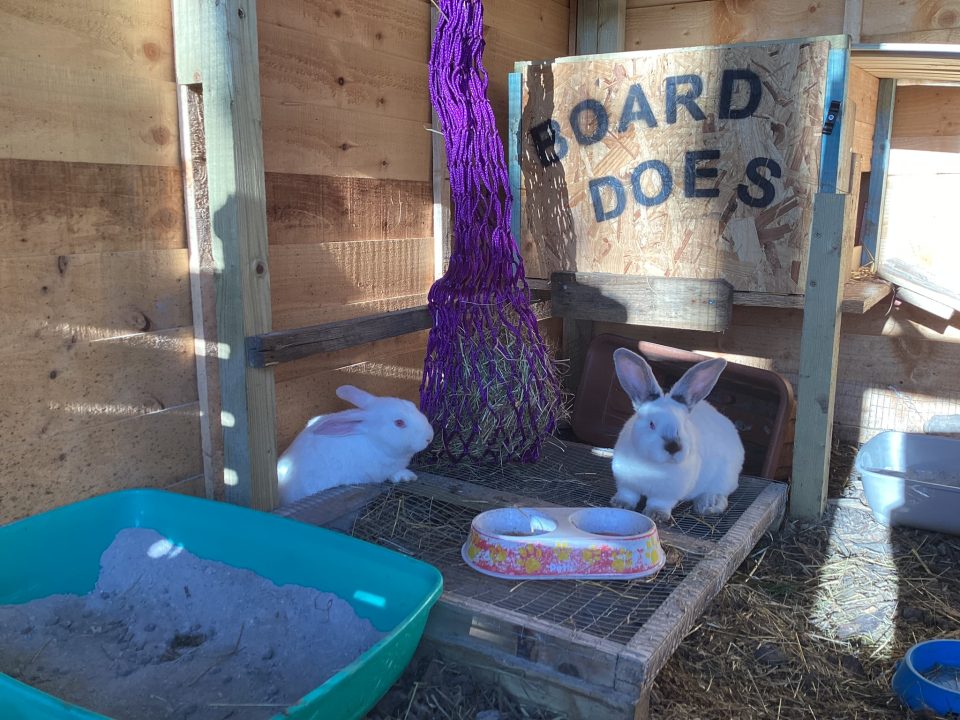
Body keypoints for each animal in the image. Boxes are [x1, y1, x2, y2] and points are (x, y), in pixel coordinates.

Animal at [276, 385, 435, 506]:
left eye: (412, 405)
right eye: (399, 423)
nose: (429, 437)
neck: (373, 440)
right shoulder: (380, 472)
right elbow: (393, 474)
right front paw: (407, 476)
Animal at [609, 348, 744, 524]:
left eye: (684, 424)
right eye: (651, 424)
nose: (673, 447)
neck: (653, 466)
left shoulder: (667, 494)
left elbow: (659, 503)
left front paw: (656, 515)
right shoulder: (626, 483)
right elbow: (628, 495)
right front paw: (619, 504)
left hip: (724, 478)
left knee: (718, 492)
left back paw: (708, 505)